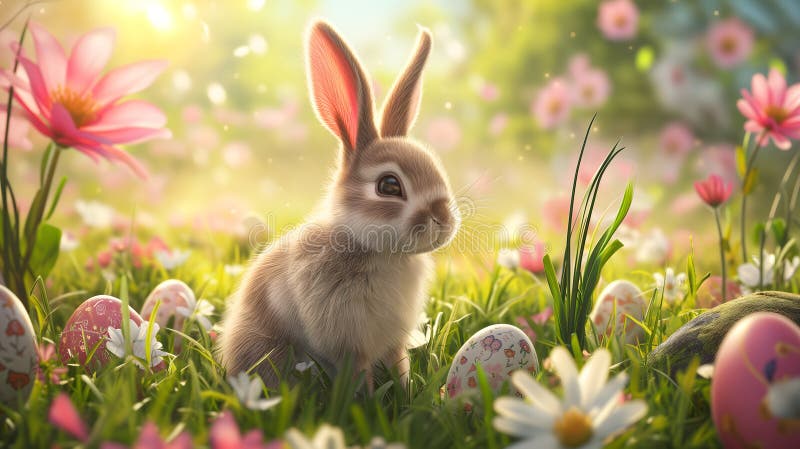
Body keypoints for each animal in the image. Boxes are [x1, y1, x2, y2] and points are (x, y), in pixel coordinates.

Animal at [218, 20, 460, 392]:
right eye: (389, 185)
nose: (443, 219)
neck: (379, 252)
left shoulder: (393, 342)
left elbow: (399, 363)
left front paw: (407, 393)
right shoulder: (347, 343)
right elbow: (359, 375)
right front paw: (369, 400)